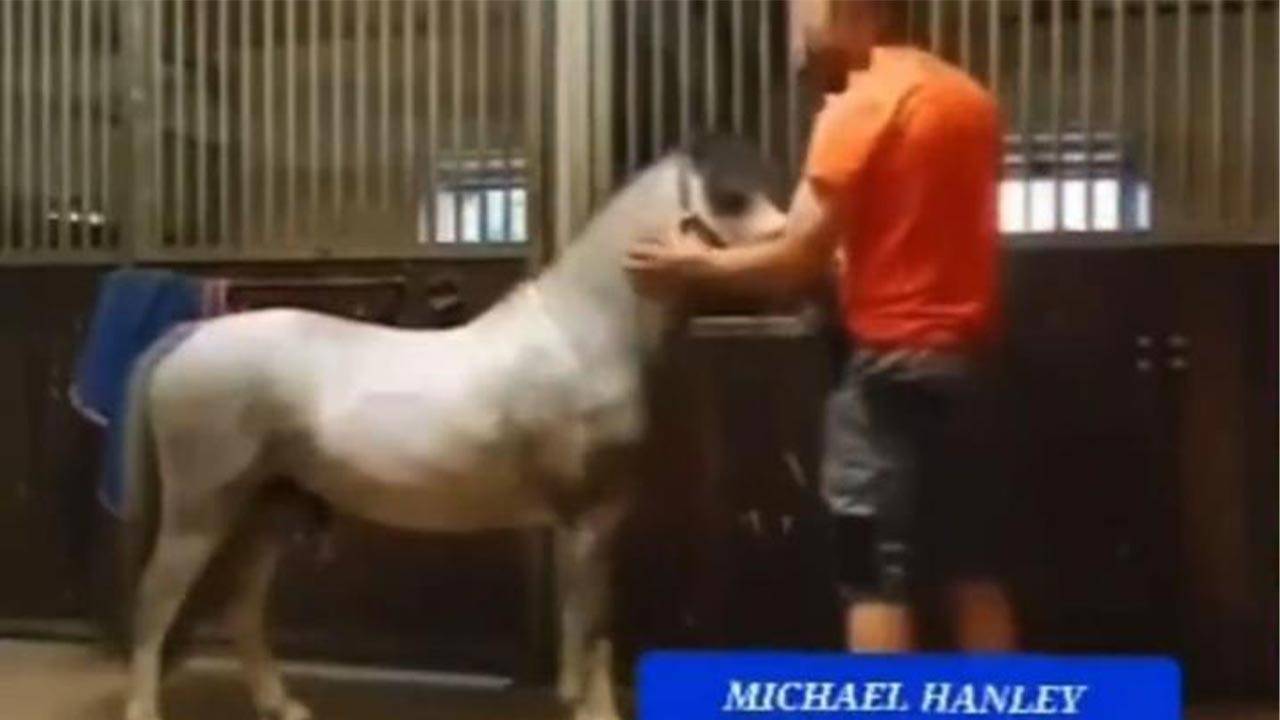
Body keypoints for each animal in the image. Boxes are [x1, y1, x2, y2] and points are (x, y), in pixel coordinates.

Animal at [116, 135, 787, 720]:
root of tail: (190, 336)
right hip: (201, 509)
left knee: (242, 610)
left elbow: (586, 627)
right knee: (153, 602)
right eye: (730, 196)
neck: (584, 335)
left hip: (269, 509)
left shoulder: (594, 521)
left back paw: (281, 705)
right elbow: (593, 629)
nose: (789, 243)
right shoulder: (588, 519)